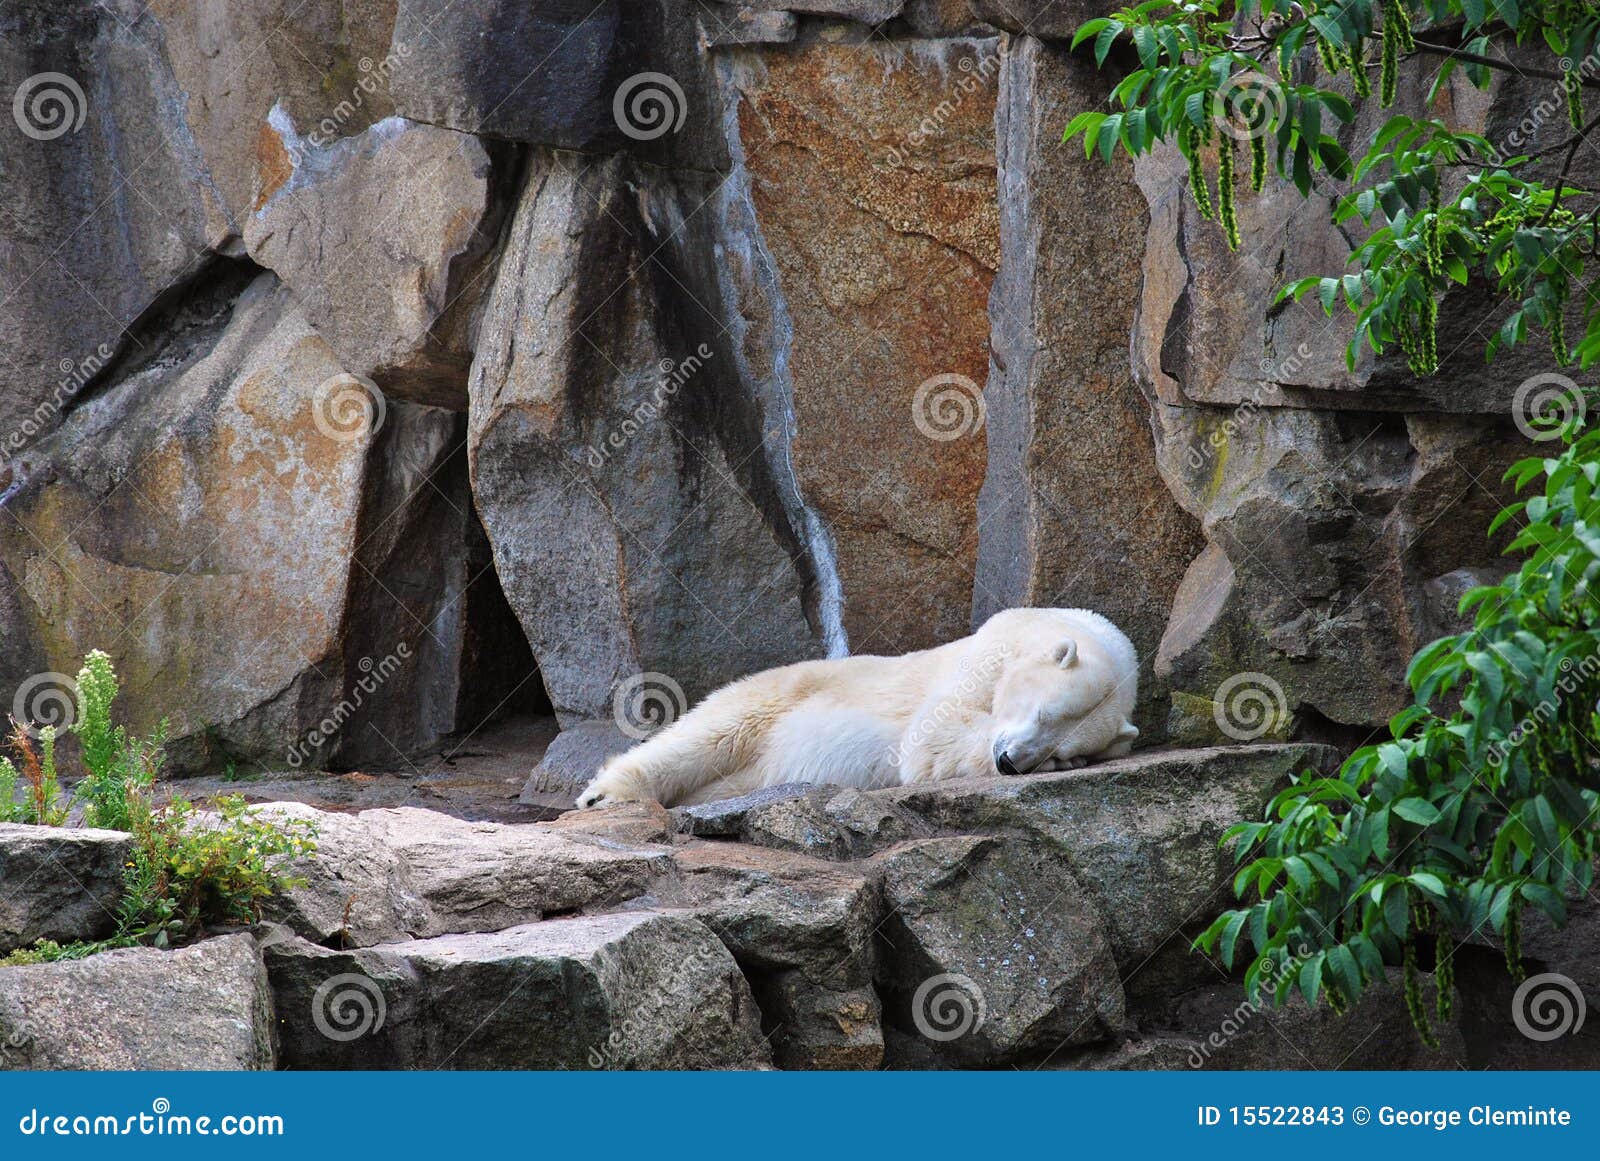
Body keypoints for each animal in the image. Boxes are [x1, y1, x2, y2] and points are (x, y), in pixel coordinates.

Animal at [575, 607, 1138, 809]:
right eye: (1042, 714)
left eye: (1058, 749)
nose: (1009, 762)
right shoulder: (986, 652)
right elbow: (930, 739)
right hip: (784, 692)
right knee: (711, 733)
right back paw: (605, 794)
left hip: (760, 767)